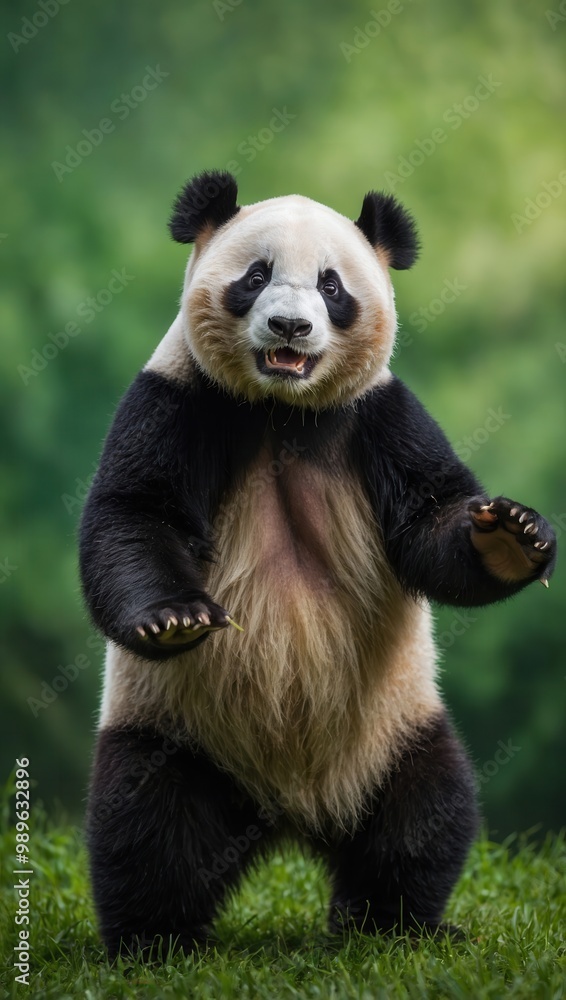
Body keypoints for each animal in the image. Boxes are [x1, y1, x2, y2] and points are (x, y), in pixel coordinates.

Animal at [80, 170, 556, 958]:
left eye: (332, 287)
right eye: (255, 276)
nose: (289, 328)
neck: (282, 409)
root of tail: (287, 812)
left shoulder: (379, 416)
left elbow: (430, 521)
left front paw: (512, 534)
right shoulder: (179, 397)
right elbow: (135, 513)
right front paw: (173, 618)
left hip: (392, 729)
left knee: (426, 814)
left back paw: (401, 925)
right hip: (177, 728)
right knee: (147, 825)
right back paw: (157, 941)